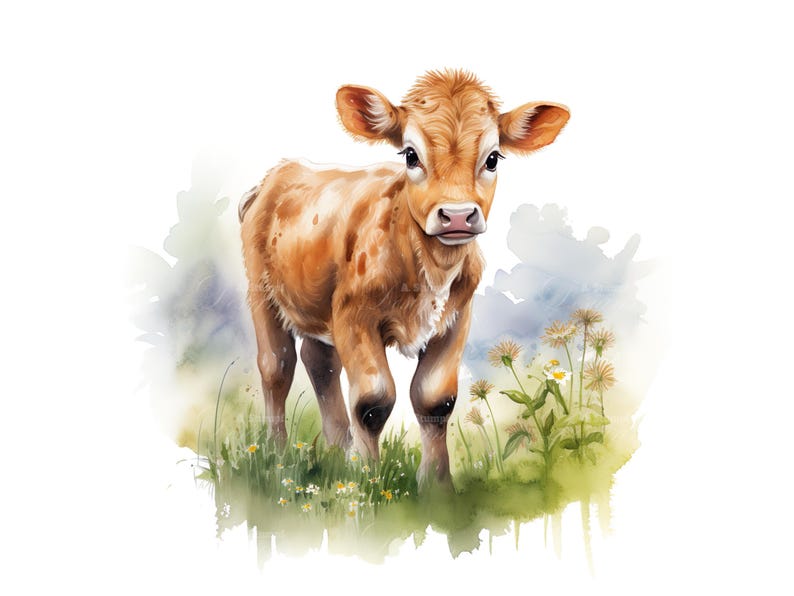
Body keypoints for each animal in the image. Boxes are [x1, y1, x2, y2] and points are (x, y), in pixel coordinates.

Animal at [239, 69, 568, 484]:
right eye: (411, 155)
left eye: (493, 158)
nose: (456, 216)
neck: (429, 270)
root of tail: (281, 171)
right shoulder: (354, 316)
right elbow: (372, 401)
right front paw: (366, 482)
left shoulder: (455, 320)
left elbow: (435, 399)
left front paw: (437, 486)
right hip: (262, 291)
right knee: (277, 366)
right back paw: (277, 454)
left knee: (319, 360)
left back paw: (336, 451)